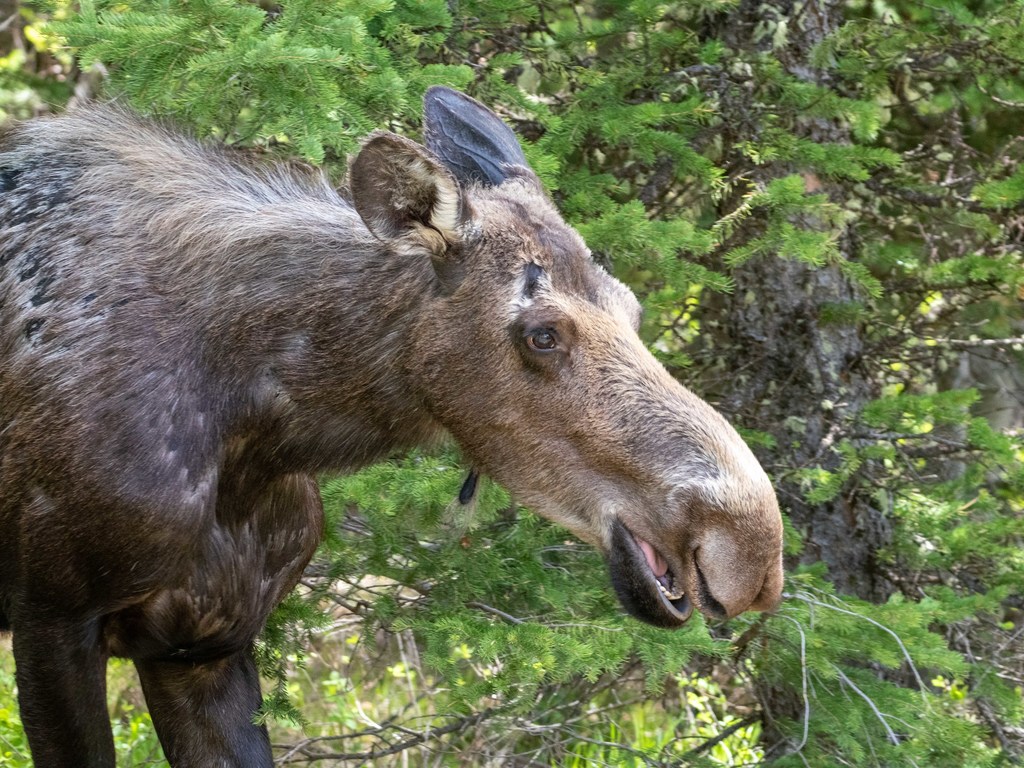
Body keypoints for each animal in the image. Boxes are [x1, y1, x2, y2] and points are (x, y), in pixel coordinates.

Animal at [0, 87, 784, 767]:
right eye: (542, 334)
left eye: (634, 310)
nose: (750, 548)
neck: (260, 438)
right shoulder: (53, 620)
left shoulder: (206, 645)